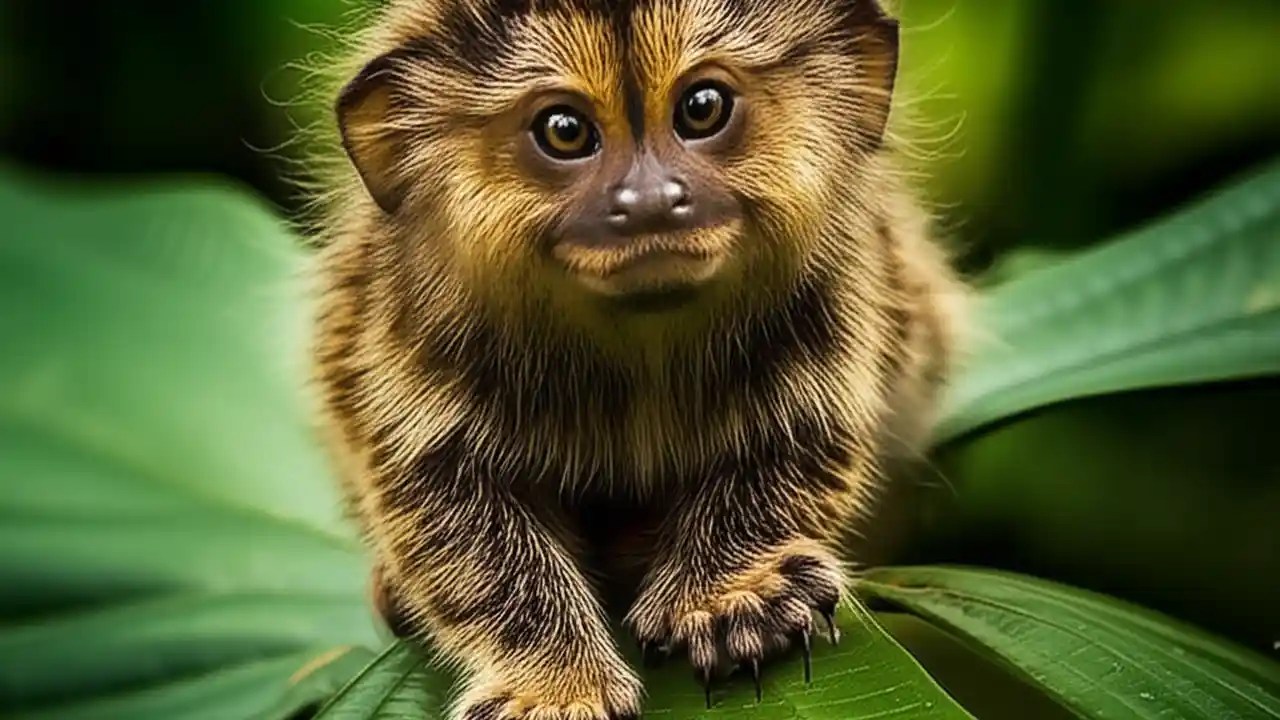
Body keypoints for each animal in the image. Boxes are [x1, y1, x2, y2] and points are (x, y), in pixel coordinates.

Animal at [307, 0, 970, 718]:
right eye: (565, 132)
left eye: (702, 108)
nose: (650, 199)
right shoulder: (408, 343)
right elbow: (444, 504)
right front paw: (556, 686)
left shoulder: (839, 296)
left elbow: (801, 437)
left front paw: (738, 595)